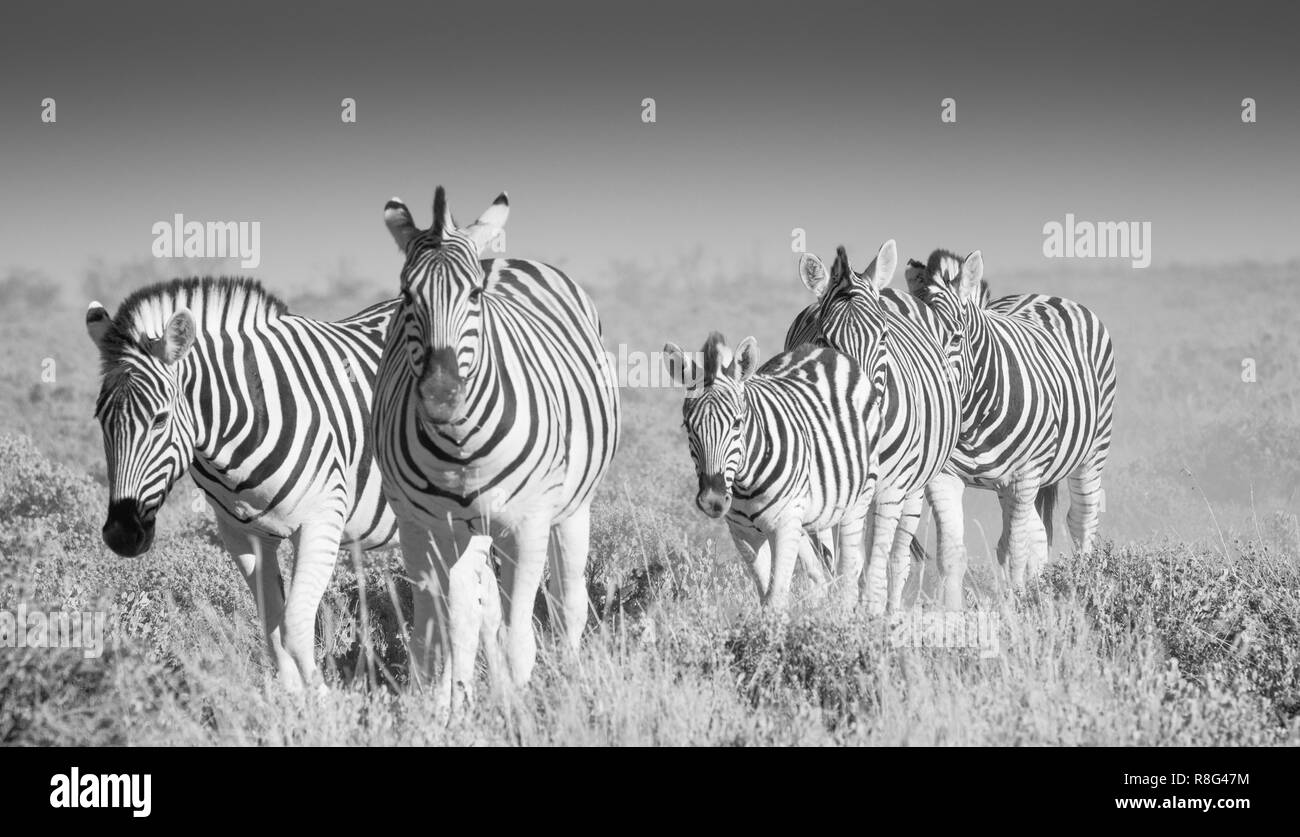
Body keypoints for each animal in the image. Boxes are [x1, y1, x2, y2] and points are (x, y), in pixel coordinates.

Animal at [85, 277, 399, 691]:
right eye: (100, 419)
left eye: (160, 419)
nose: (121, 535)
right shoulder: (242, 533)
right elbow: (273, 631)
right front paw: (294, 706)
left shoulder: (322, 521)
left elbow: (296, 629)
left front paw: (326, 706)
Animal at [373, 186, 620, 700]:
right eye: (406, 296)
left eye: (474, 295)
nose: (442, 396)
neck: (459, 449)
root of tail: (504, 257)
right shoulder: (420, 526)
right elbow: (436, 633)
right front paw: (437, 706)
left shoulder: (526, 525)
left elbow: (516, 634)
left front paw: (514, 705)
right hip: (468, 532)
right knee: (473, 611)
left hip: (570, 508)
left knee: (567, 601)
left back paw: (568, 679)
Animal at [663, 333, 882, 610]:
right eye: (688, 426)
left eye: (737, 423)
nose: (713, 500)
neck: (744, 484)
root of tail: (822, 350)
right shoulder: (744, 534)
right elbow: (766, 596)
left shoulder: (784, 525)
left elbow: (775, 598)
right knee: (818, 575)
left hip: (857, 500)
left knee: (849, 574)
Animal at [786, 240, 968, 613]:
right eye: (824, 340)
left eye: (883, 336)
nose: (862, 404)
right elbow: (838, 562)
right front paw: (833, 612)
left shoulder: (891, 490)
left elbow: (875, 563)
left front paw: (869, 615)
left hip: (913, 489)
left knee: (896, 559)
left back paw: (890, 611)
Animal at [905, 249, 1116, 588]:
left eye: (955, 338)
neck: (971, 421)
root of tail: (1042, 295)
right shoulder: (943, 478)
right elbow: (952, 554)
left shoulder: (1025, 475)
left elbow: (1017, 552)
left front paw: (1020, 599)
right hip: (1012, 486)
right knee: (1035, 532)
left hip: (1091, 454)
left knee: (1080, 521)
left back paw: (1082, 585)